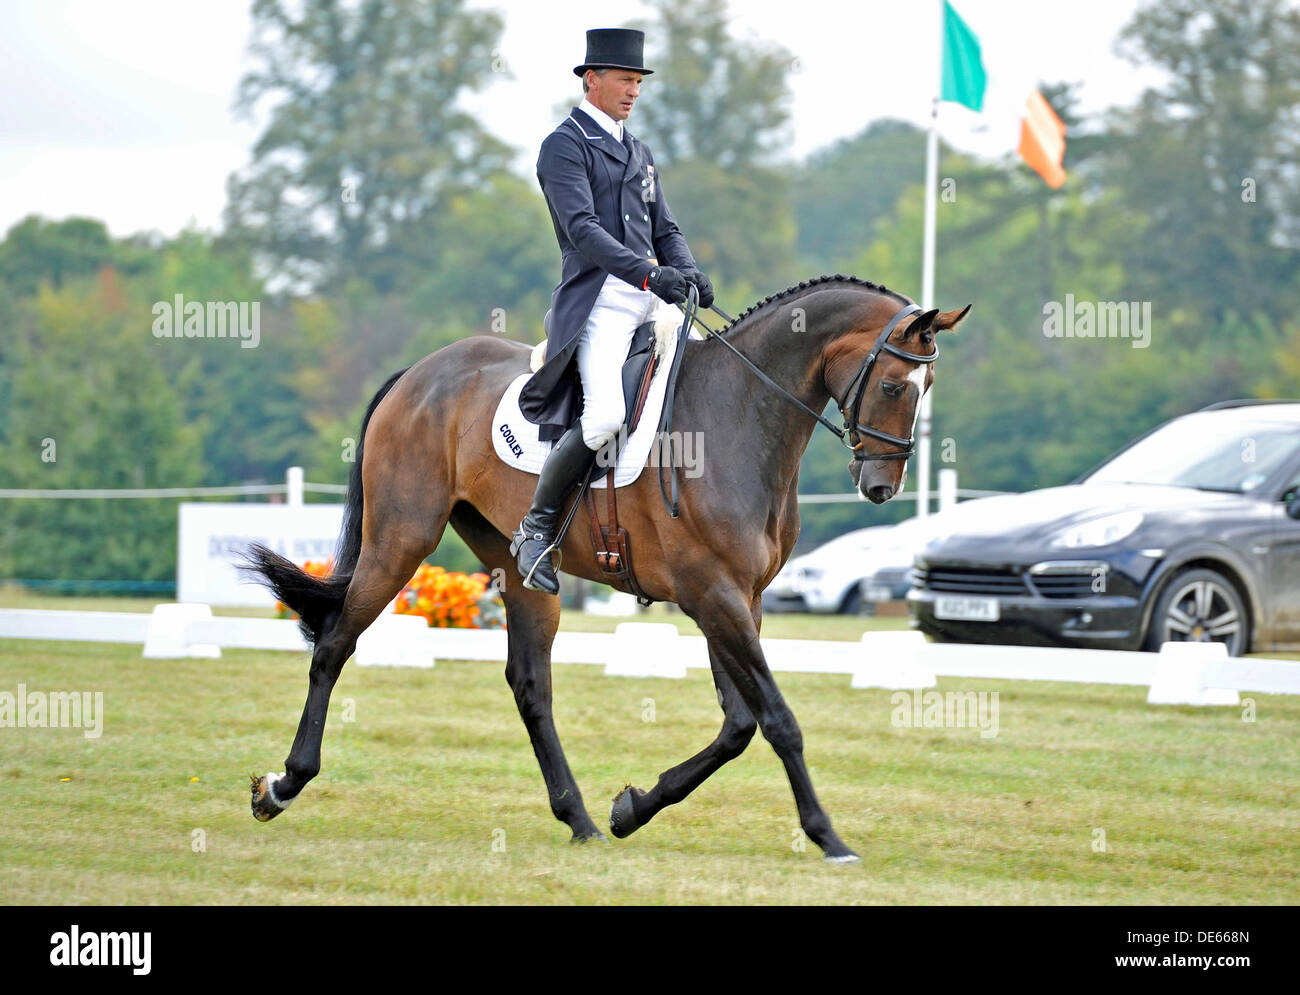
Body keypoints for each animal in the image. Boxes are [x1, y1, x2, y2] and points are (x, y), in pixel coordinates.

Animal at [242, 274, 971, 863]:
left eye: (929, 386)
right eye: (892, 384)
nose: (880, 486)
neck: (738, 416)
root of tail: (418, 374)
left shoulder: (740, 598)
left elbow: (739, 725)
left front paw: (632, 808)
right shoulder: (714, 595)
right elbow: (777, 719)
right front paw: (828, 836)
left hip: (517, 567)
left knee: (530, 686)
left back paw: (582, 820)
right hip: (401, 539)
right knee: (334, 642)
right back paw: (282, 785)